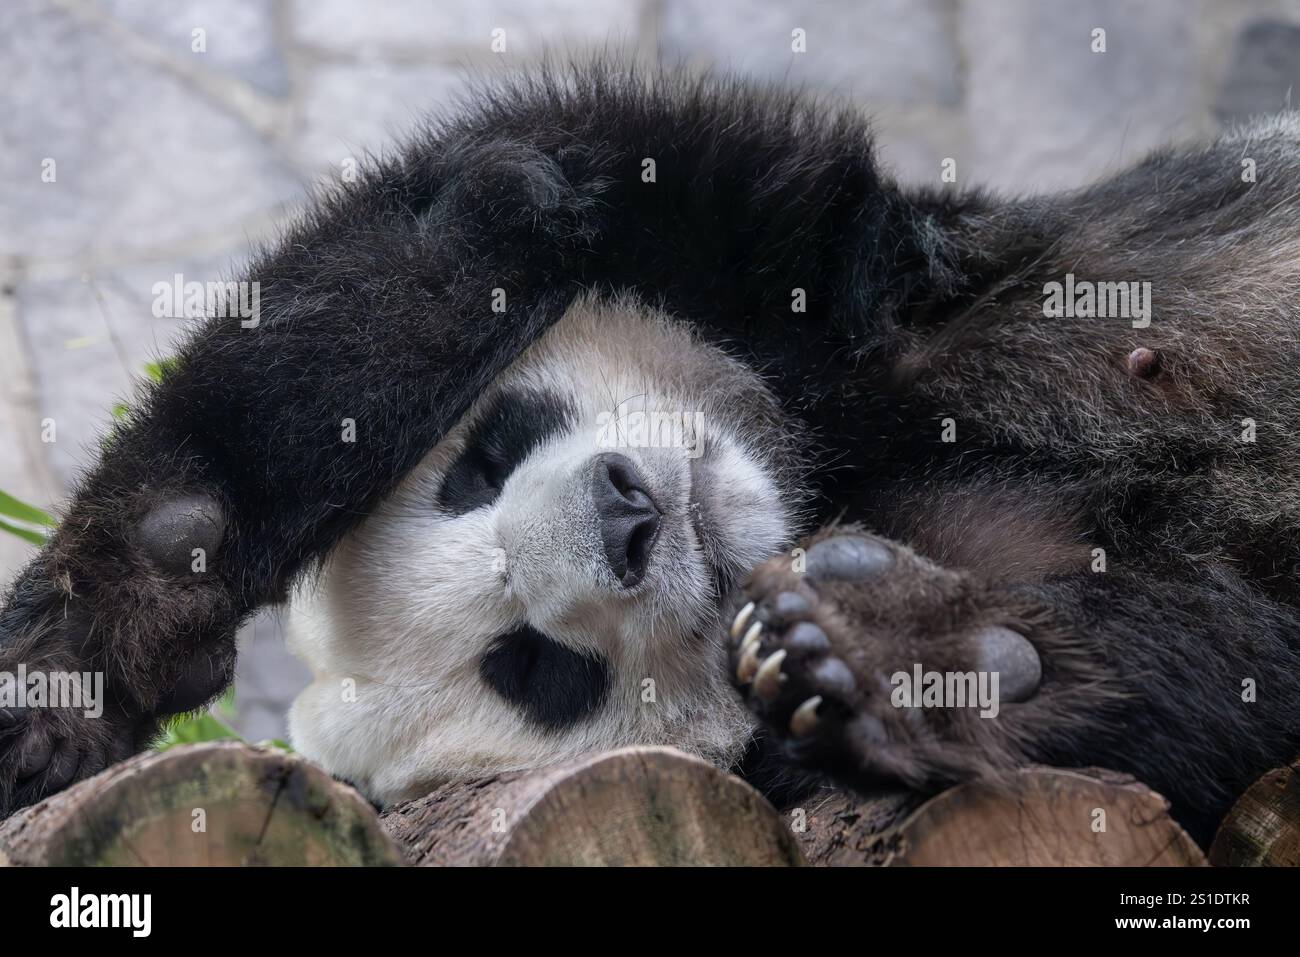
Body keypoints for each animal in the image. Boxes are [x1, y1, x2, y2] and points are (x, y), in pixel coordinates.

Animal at [3, 63, 1300, 848]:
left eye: (484, 461)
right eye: (533, 666)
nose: (629, 516)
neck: (819, 469)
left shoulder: (791, 258)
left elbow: (499, 197)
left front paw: (71, 672)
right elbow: (1214, 654)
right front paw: (904, 663)